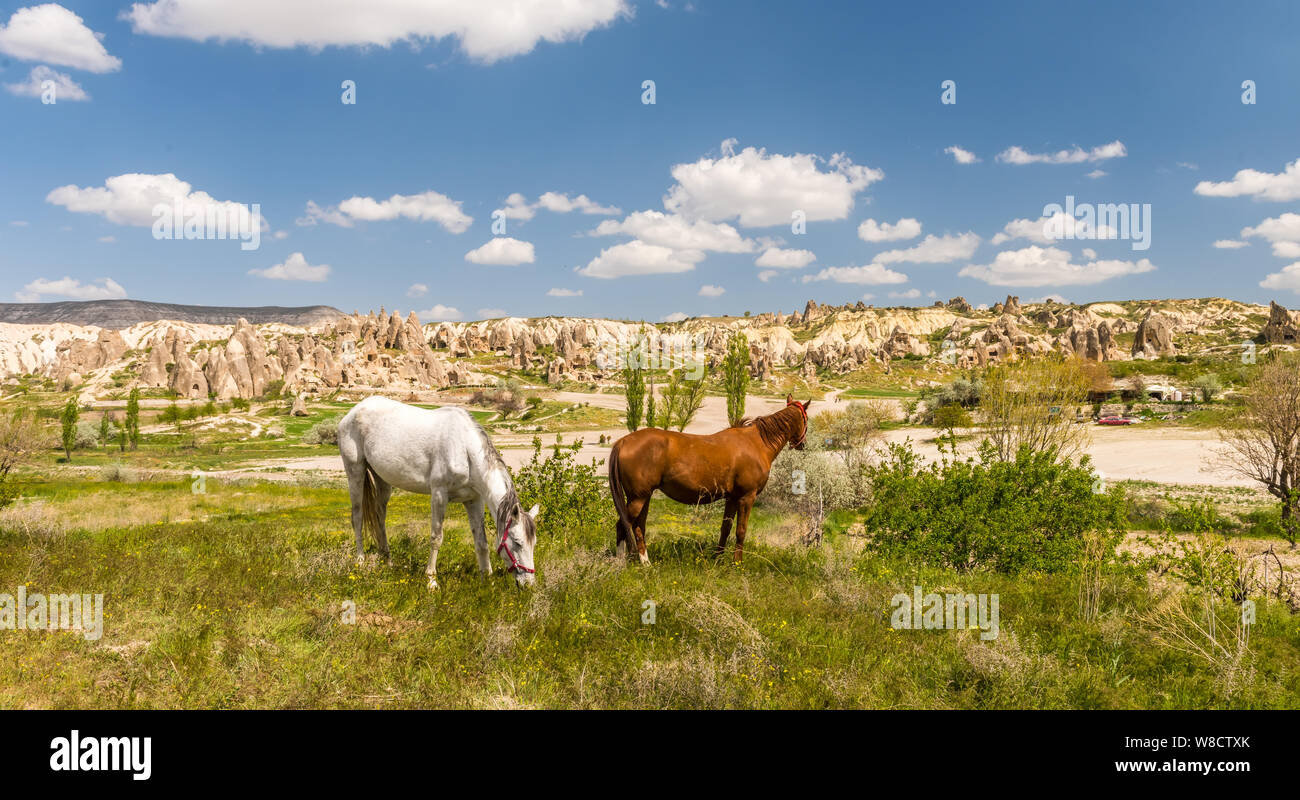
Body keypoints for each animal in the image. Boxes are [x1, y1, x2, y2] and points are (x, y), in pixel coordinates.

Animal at [337, 396, 539, 589]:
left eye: (533, 543)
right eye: (518, 542)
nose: (529, 584)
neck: (464, 449)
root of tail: (354, 411)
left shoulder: (474, 500)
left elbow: (481, 542)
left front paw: (487, 580)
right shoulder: (439, 495)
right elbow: (436, 538)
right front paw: (431, 581)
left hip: (382, 481)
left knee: (380, 519)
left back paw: (387, 561)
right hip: (355, 472)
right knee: (357, 518)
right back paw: (360, 561)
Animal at [607, 394, 811, 564]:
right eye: (806, 419)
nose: (803, 445)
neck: (756, 442)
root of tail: (623, 441)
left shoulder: (732, 498)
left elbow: (725, 528)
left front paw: (718, 558)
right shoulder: (747, 497)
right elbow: (741, 531)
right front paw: (737, 563)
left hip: (644, 497)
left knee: (638, 527)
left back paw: (645, 562)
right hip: (638, 498)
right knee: (622, 525)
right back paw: (620, 563)